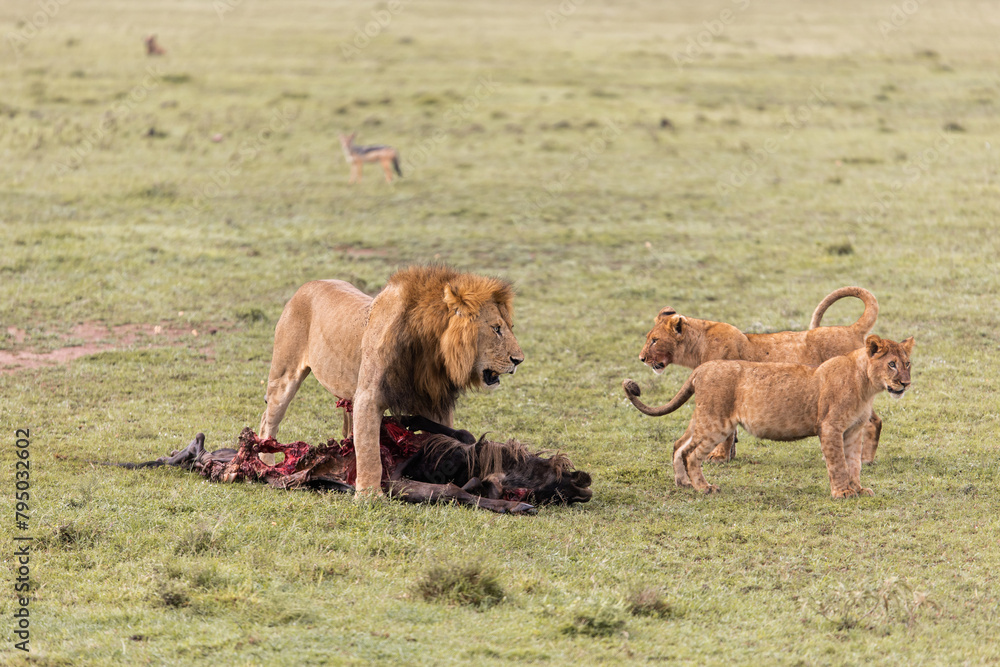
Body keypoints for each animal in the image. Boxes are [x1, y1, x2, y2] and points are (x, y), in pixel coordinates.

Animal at [258, 265, 524, 493]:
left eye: (510, 327)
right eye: (496, 329)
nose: (519, 360)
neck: (433, 349)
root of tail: (308, 284)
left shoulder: (435, 400)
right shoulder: (368, 396)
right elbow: (369, 452)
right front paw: (369, 495)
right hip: (284, 375)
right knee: (268, 419)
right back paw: (265, 464)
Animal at [623, 334, 913, 499]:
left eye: (907, 363)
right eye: (891, 364)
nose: (906, 383)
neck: (866, 385)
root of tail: (702, 368)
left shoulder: (853, 431)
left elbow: (854, 464)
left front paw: (859, 490)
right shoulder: (830, 427)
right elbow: (838, 464)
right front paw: (842, 493)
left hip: (703, 418)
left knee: (678, 446)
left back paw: (684, 484)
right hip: (716, 423)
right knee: (692, 454)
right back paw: (704, 488)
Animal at [636, 286, 883, 463]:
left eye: (655, 340)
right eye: (649, 338)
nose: (641, 358)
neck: (698, 345)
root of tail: (851, 329)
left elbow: (727, 434)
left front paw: (718, 457)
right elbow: (732, 432)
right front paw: (728, 455)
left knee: (873, 422)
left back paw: (864, 460)